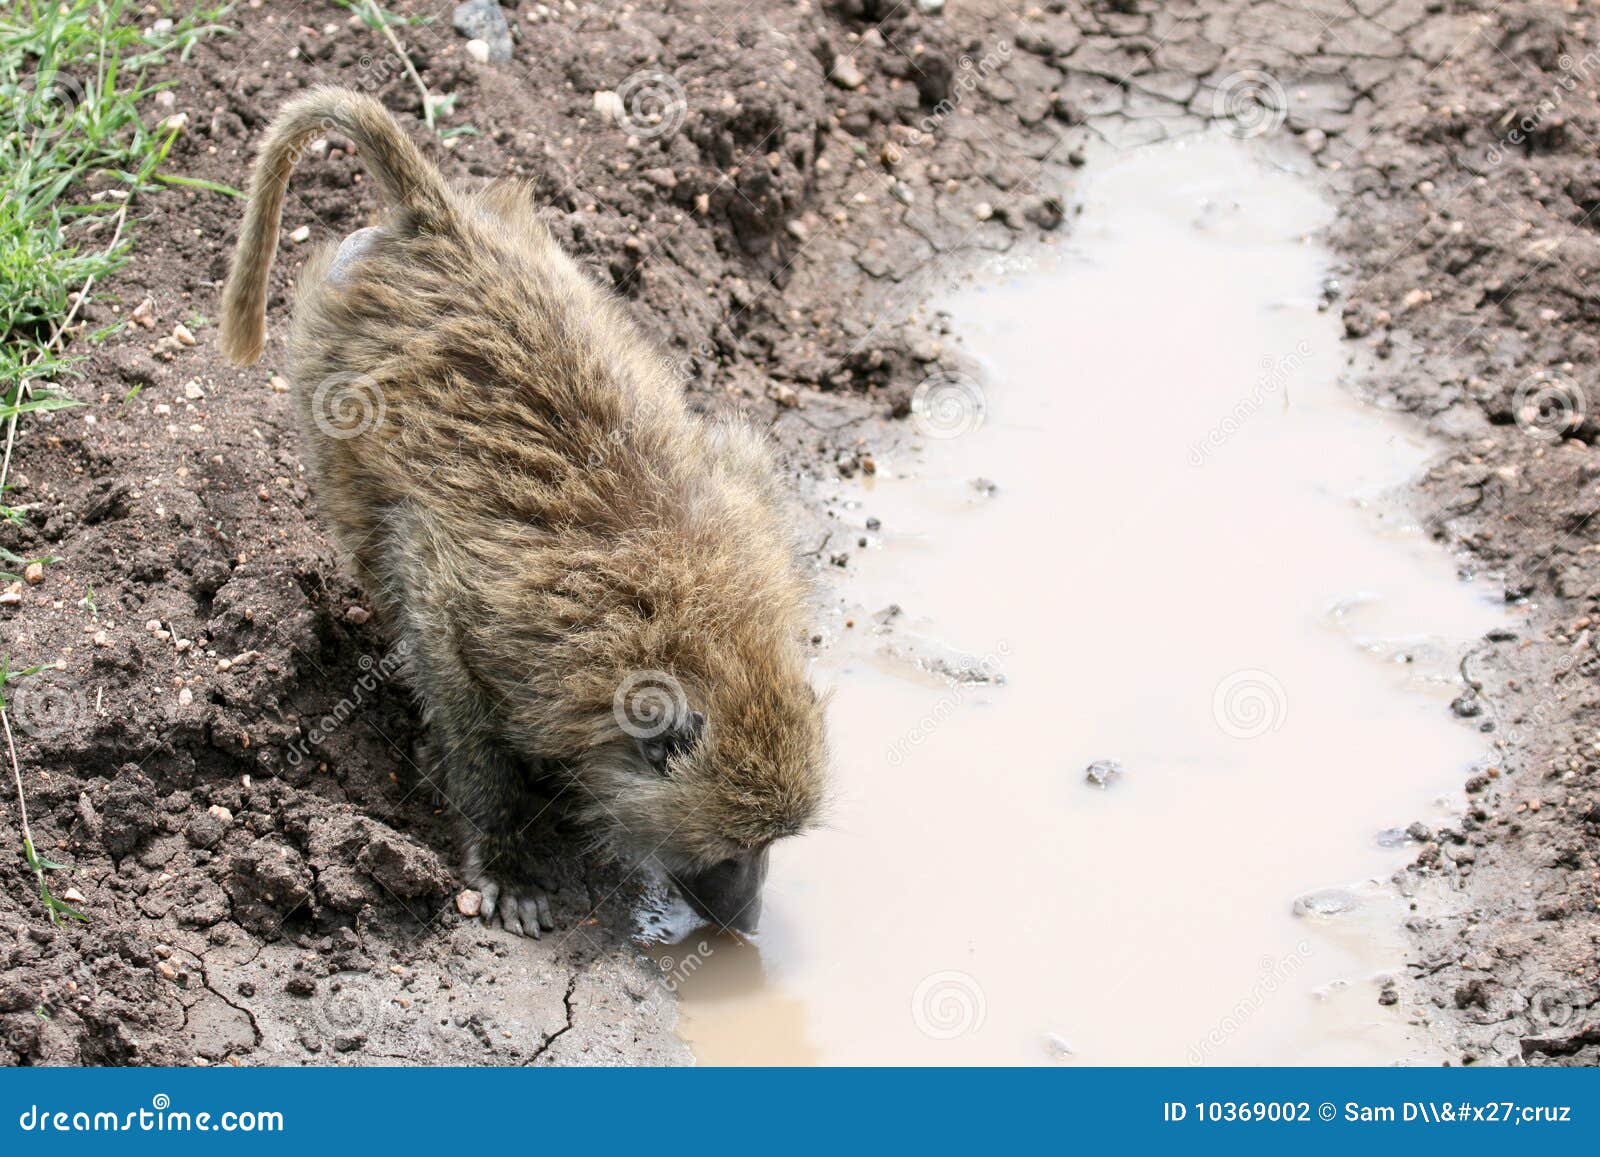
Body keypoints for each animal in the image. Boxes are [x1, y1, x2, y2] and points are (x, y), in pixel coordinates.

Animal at [219, 87, 829, 937]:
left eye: (770, 843)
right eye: (733, 847)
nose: (747, 920)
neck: (693, 625)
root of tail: (439, 224)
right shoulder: (472, 607)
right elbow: (453, 678)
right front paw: (506, 850)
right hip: (324, 372)